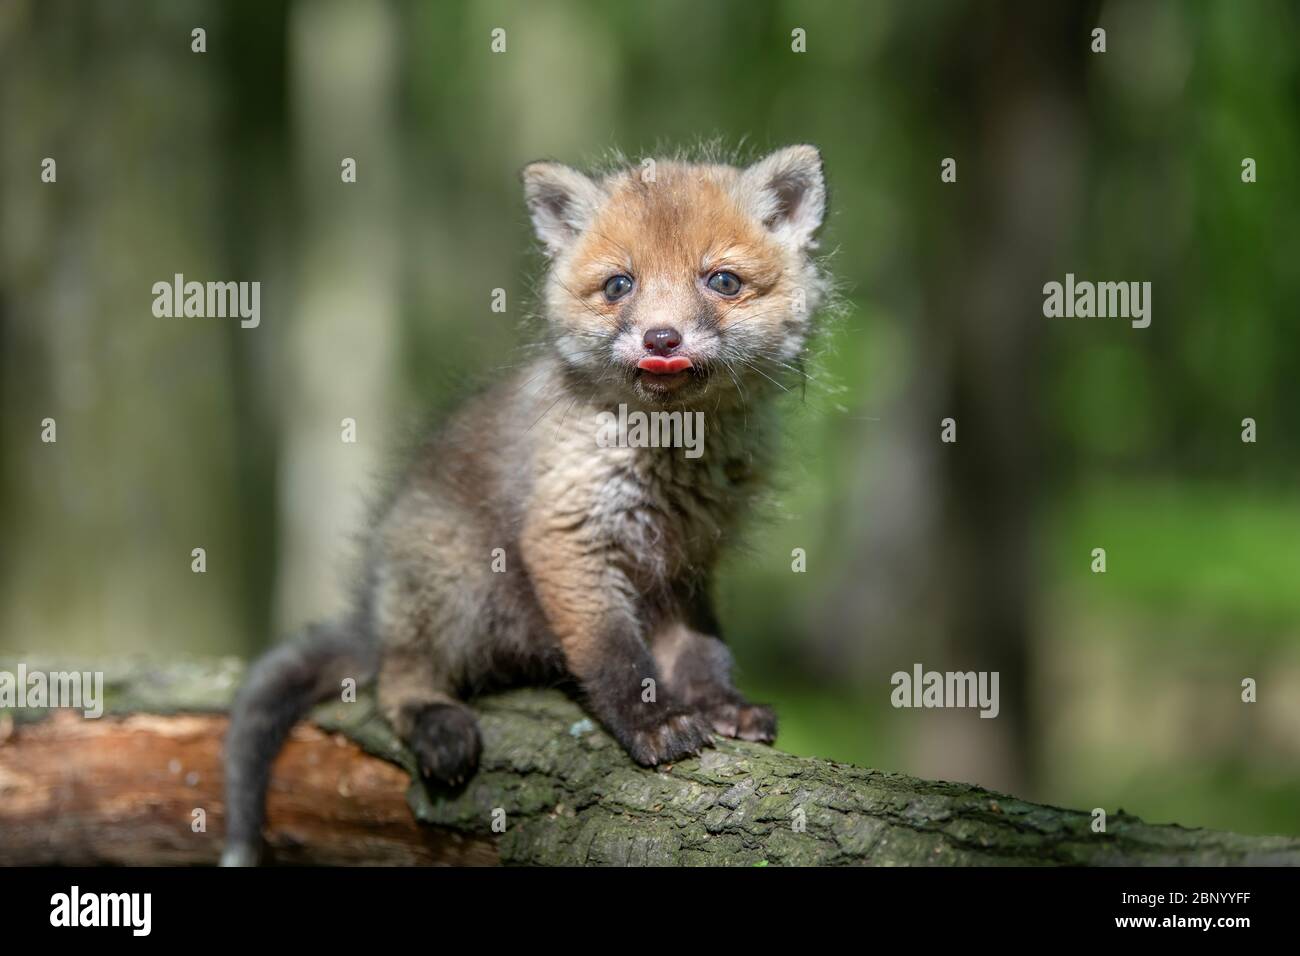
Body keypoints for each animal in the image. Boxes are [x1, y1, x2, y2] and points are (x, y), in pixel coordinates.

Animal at [221, 144, 831, 865]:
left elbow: (701, 651)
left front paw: (720, 705)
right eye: (618, 286)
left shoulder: (686, 561)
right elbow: (615, 655)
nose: (662, 339)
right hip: (450, 582)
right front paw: (654, 723)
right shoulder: (568, 535)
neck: (673, 460)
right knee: (394, 679)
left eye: (724, 282)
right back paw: (435, 719)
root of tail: (373, 614)